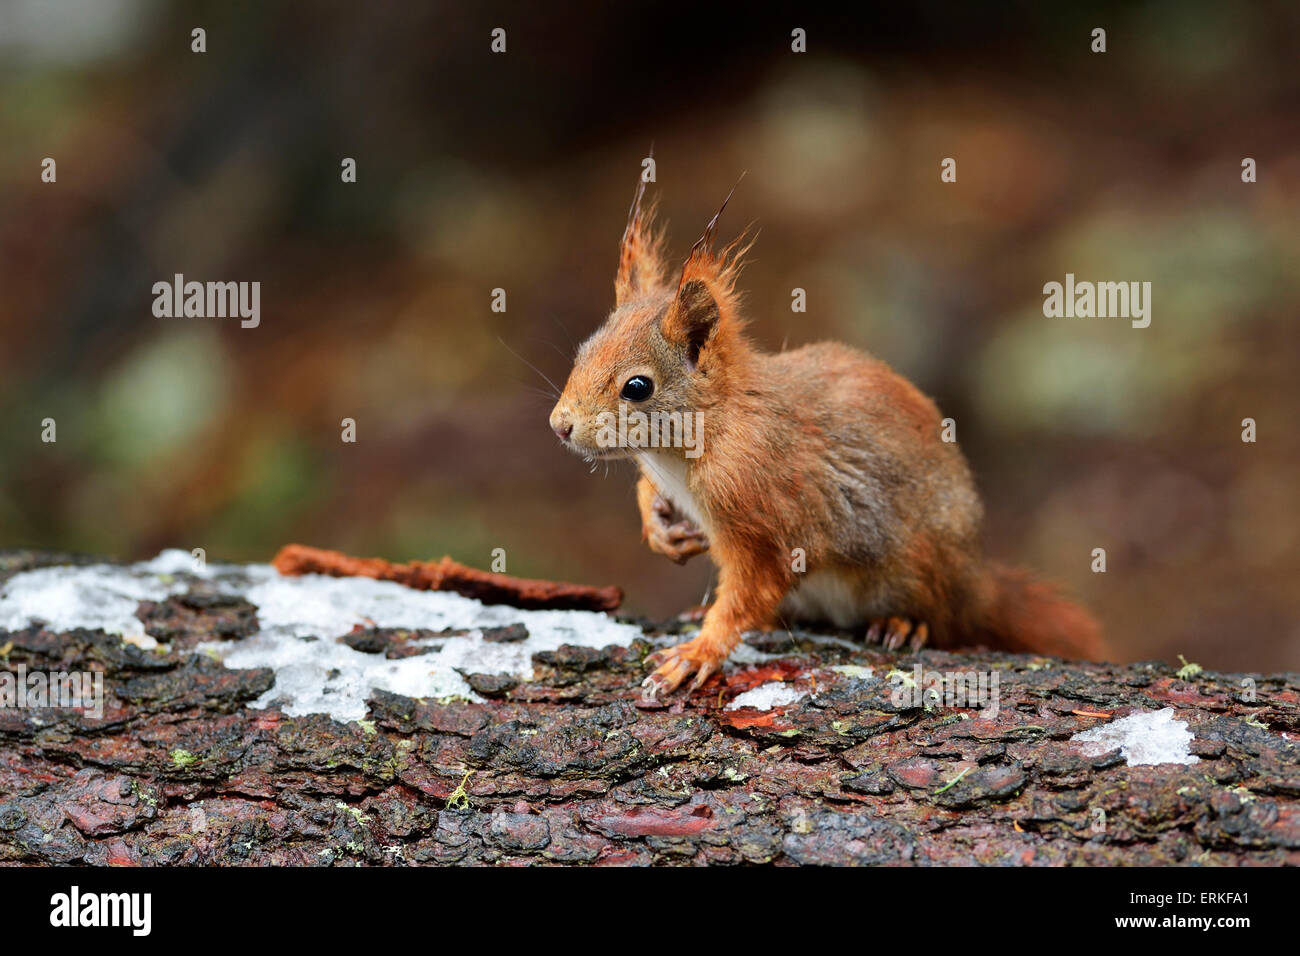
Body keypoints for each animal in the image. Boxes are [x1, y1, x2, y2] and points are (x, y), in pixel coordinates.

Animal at [549, 175, 1104, 699]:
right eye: (583, 350)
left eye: (637, 387)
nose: (560, 425)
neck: (699, 435)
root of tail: (976, 580)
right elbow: (651, 495)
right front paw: (662, 529)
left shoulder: (763, 508)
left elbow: (751, 590)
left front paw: (698, 652)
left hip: (923, 572)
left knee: (942, 618)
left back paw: (904, 623)